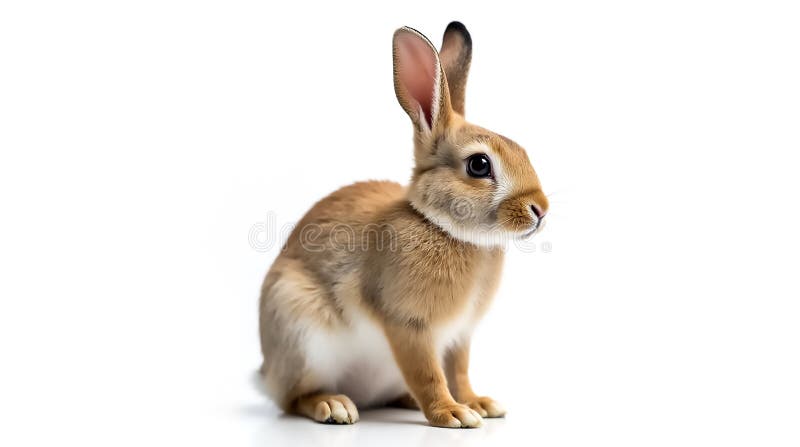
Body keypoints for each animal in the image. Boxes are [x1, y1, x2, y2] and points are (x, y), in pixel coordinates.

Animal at [257, 22, 548, 428]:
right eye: (479, 165)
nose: (541, 209)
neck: (441, 227)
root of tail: (266, 374)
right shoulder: (408, 325)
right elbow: (427, 374)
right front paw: (452, 414)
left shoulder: (459, 337)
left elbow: (458, 372)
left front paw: (479, 404)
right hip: (301, 334)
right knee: (294, 397)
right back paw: (333, 405)